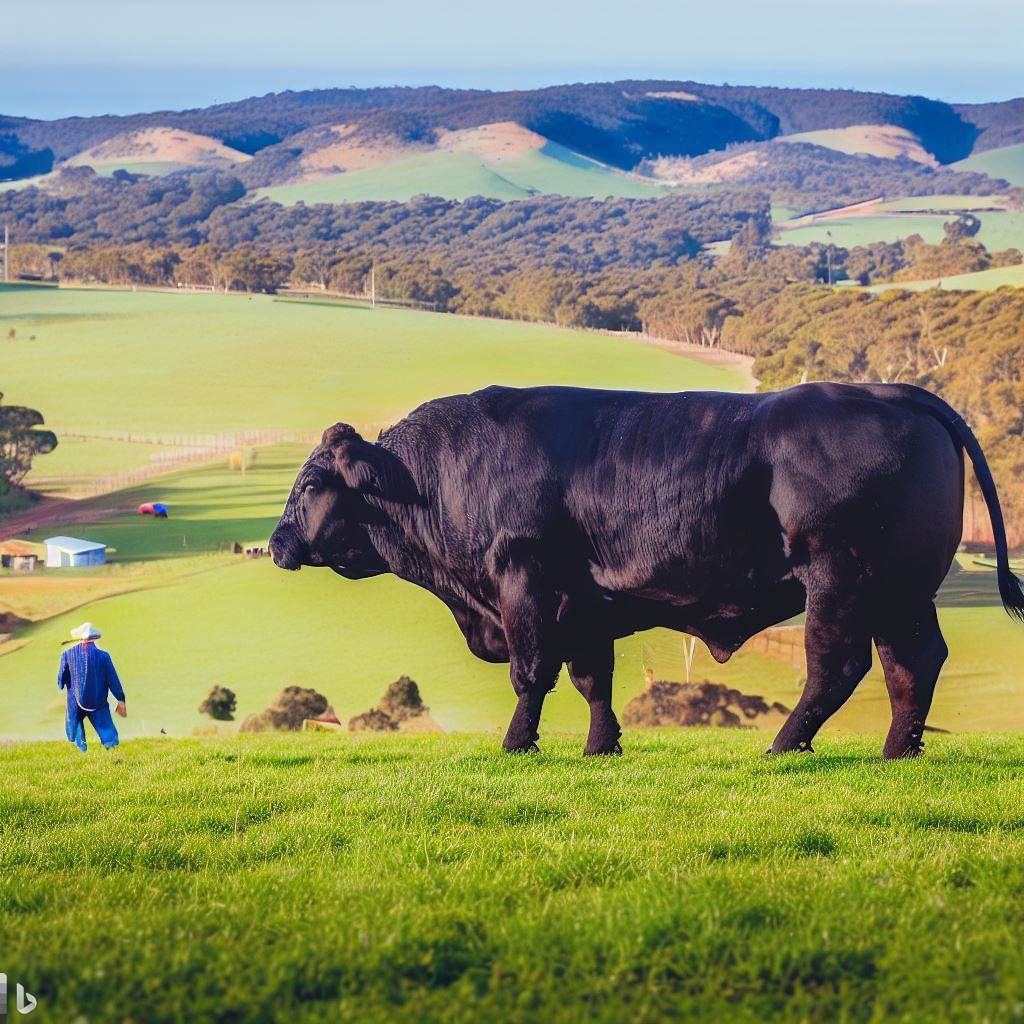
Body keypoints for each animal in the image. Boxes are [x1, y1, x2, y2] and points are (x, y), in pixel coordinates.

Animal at [269, 382, 1023, 758]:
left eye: (308, 486)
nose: (275, 543)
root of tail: (892, 392)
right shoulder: (583, 604)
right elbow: (591, 680)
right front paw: (602, 748)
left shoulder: (525, 586)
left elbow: (533, 673)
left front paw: (517, 745)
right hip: (901, 591)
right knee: (912, 664)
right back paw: (899, 751)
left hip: (839, 583)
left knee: (836, 667)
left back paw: (784, 747)